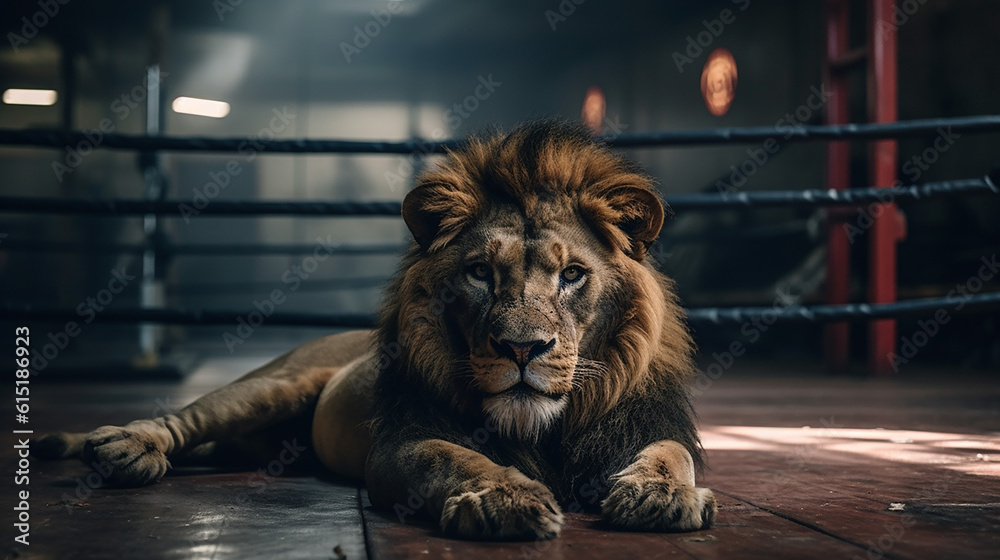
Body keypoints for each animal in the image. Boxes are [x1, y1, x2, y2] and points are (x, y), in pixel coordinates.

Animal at [34, 120, 716, 540]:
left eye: (572, 275)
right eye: (479, 273)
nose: (521, 348)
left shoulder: (641, 422)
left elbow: (673, 452)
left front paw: (660, 495)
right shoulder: (403, 445)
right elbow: (457, 458)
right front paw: (506, 499)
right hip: (272, 384)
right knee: (185, 417)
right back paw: (126, 447)